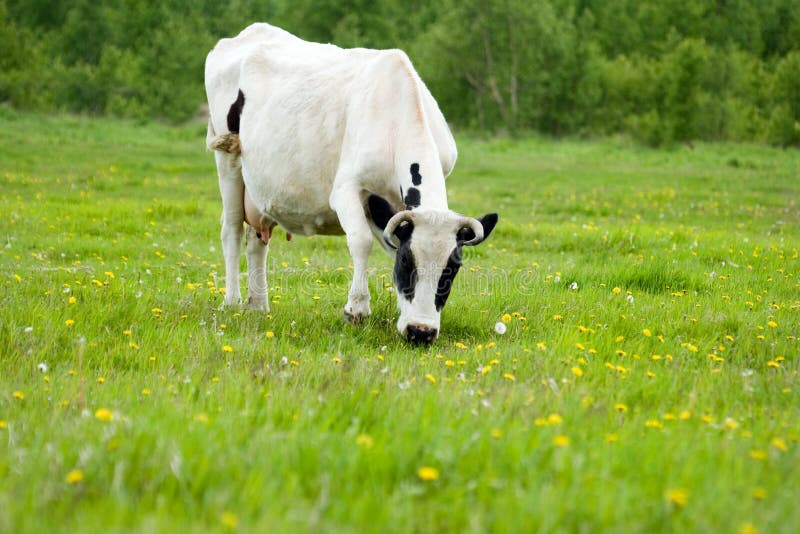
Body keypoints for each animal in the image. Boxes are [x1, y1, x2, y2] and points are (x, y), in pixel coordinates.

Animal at [205, 23, 498, 344]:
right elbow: (362, 241)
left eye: (452, 269)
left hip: (260, 189)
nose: (421, 332)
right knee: (232, 230)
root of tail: (249, 33)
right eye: (407, 263)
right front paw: (356, 308)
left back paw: (257, 305)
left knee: (256, 241)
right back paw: (232, 302)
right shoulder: (346, 190)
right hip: (227, 158)